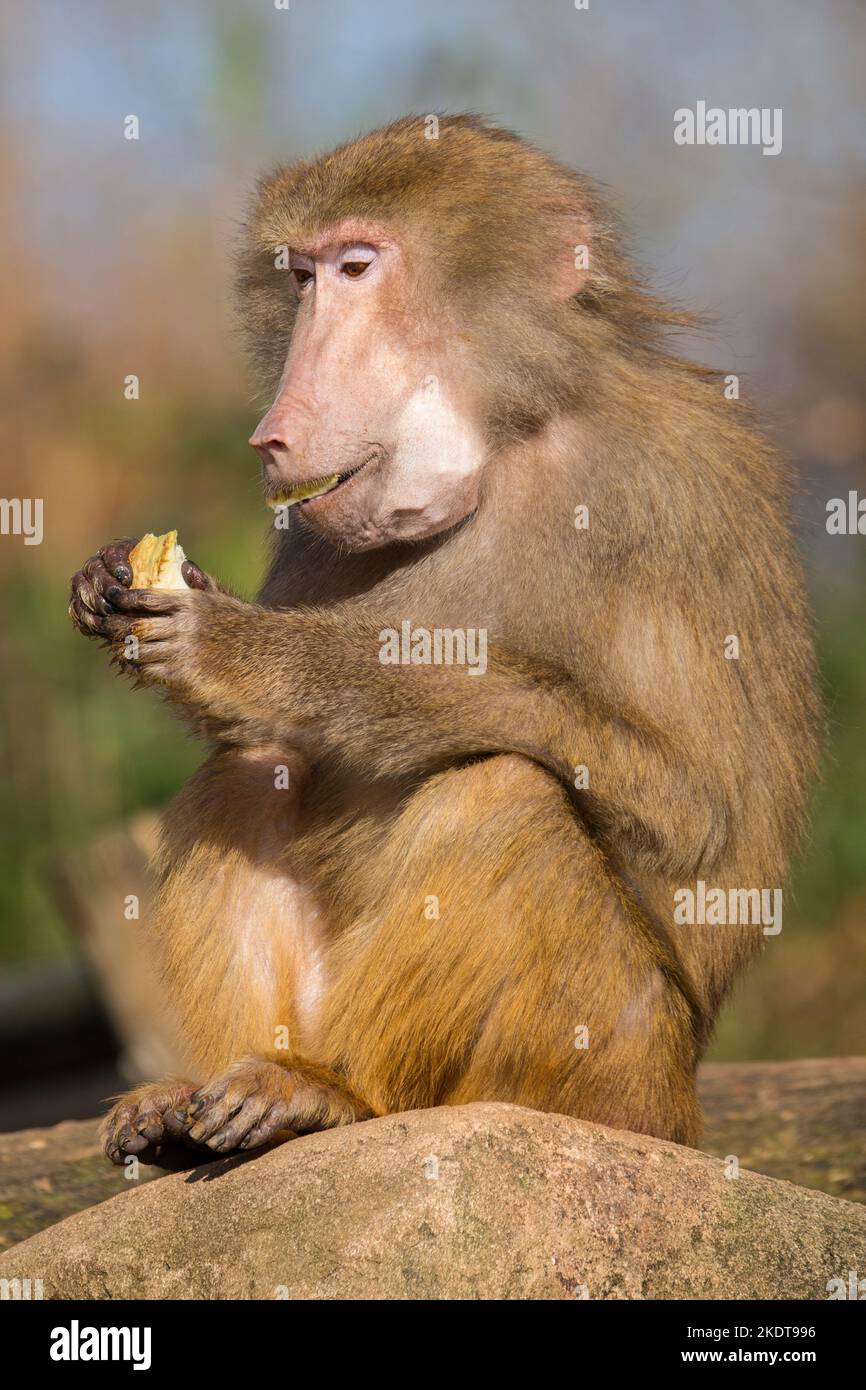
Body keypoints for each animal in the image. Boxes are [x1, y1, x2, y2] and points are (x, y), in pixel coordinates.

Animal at [68, 114, 819, 1166]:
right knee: (247, 774)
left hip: (604, 1077)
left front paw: (260, 659)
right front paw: (119, 580)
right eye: (299, 277)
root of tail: (685, 1111)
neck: (513, 435)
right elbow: (264, 749)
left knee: (501, 795)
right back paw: (216, 1104)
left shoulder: (676, 483)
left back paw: (334, 1091)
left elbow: (696, 807)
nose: (274, 433)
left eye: (357, 267)